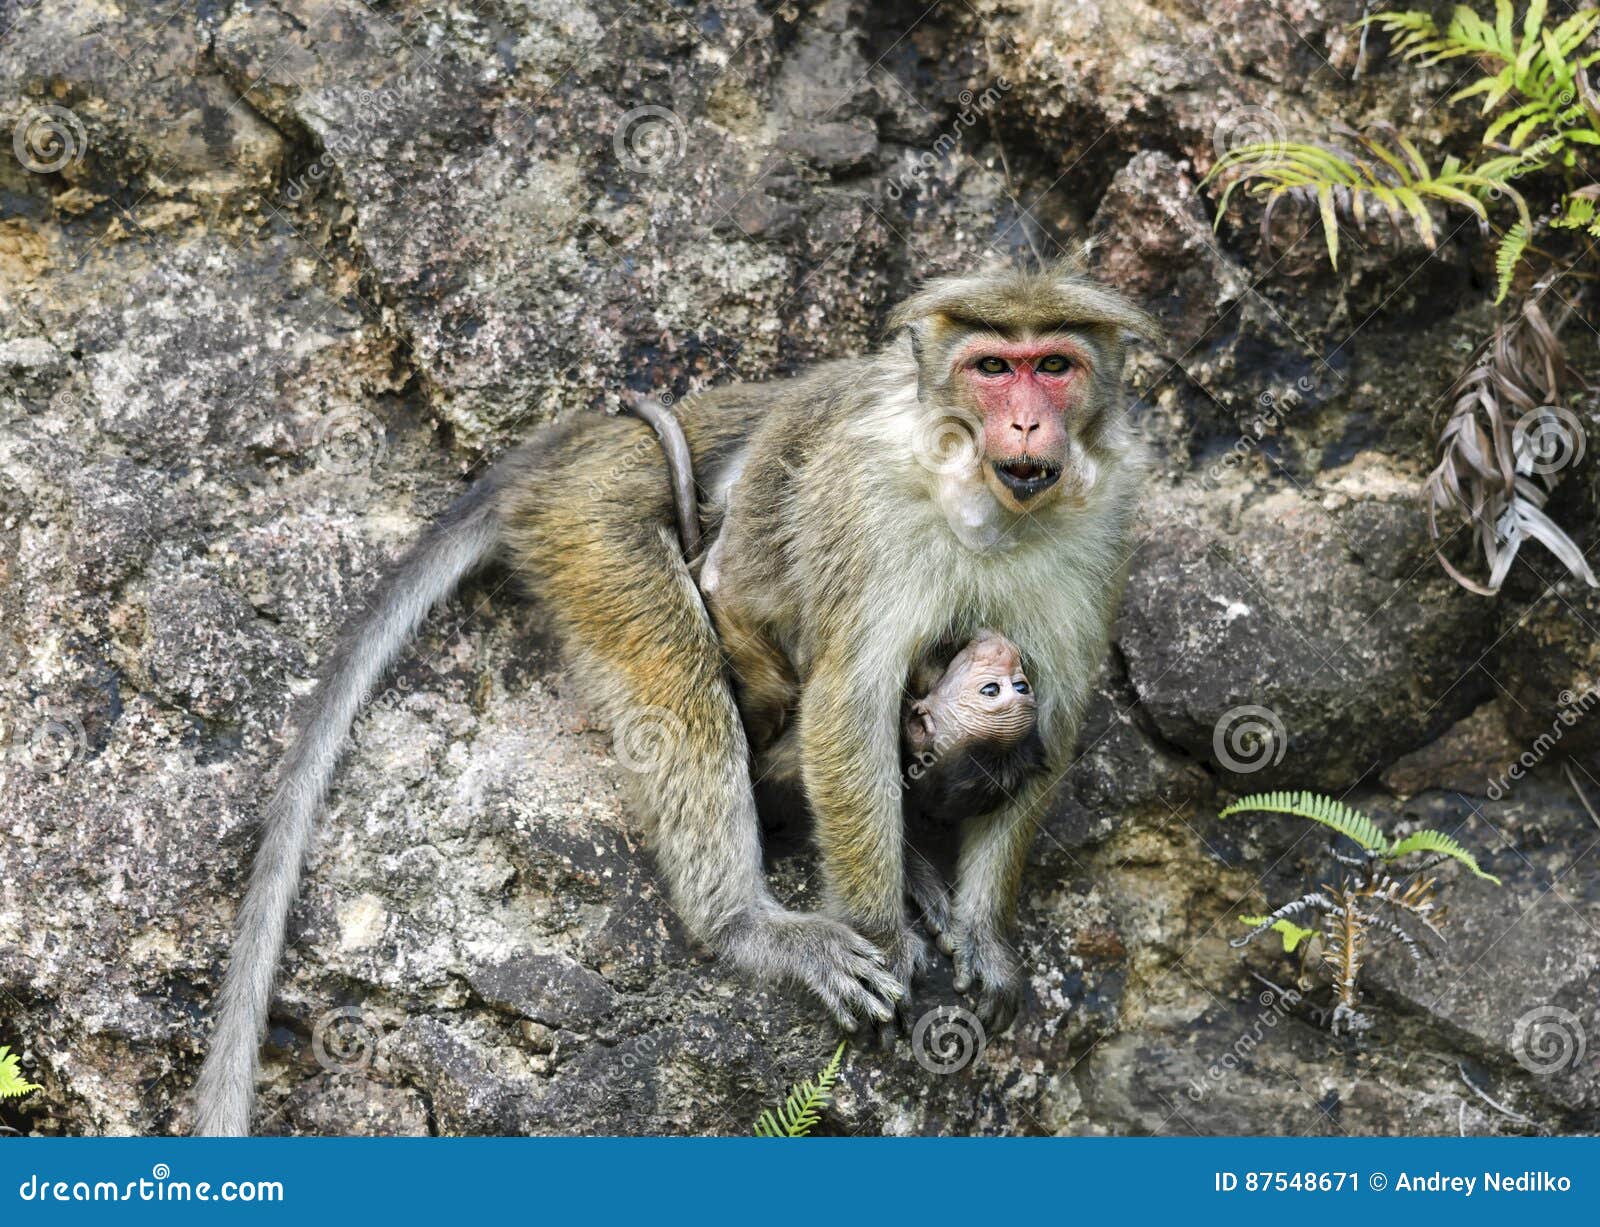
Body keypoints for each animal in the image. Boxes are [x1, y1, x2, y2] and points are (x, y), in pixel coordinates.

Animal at [193, 259, 1155, 1135]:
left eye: (1055, 365)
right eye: (994, 367)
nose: (1027, 419)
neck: (985, 506)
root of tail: (576, 450)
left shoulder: (1105, 521)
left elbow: (1055, 719)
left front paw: (987, 938)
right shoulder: (868, 505)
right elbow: (848, 707)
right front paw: (884, 932)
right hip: (597, 525)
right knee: (679, 681)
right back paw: (743, 923)